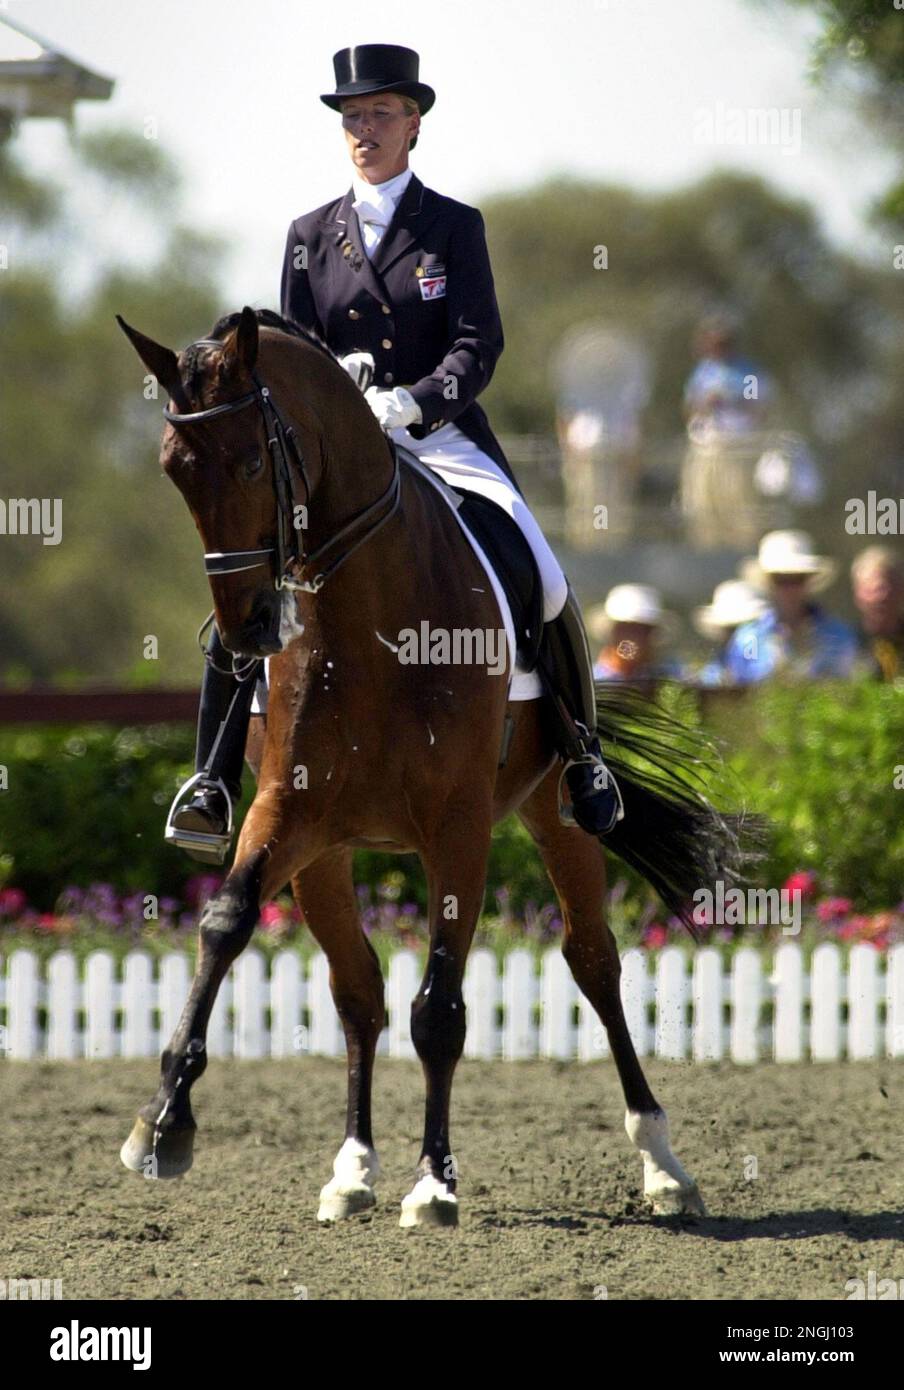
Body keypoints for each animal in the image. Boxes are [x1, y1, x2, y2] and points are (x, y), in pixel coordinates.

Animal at [116, 305, 748, 1227]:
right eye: (174, 471)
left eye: (252, 461)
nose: (247, 634)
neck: (367, 622)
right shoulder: (289, 815)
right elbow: (227, 924)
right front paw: (164, 1122)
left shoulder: (458, 828)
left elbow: (440, 1010)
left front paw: (435, 1182)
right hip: (328, 858)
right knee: (356, 993)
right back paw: (350, 1170)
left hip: (557, 812)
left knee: (594, 963)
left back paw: (662, 1164)